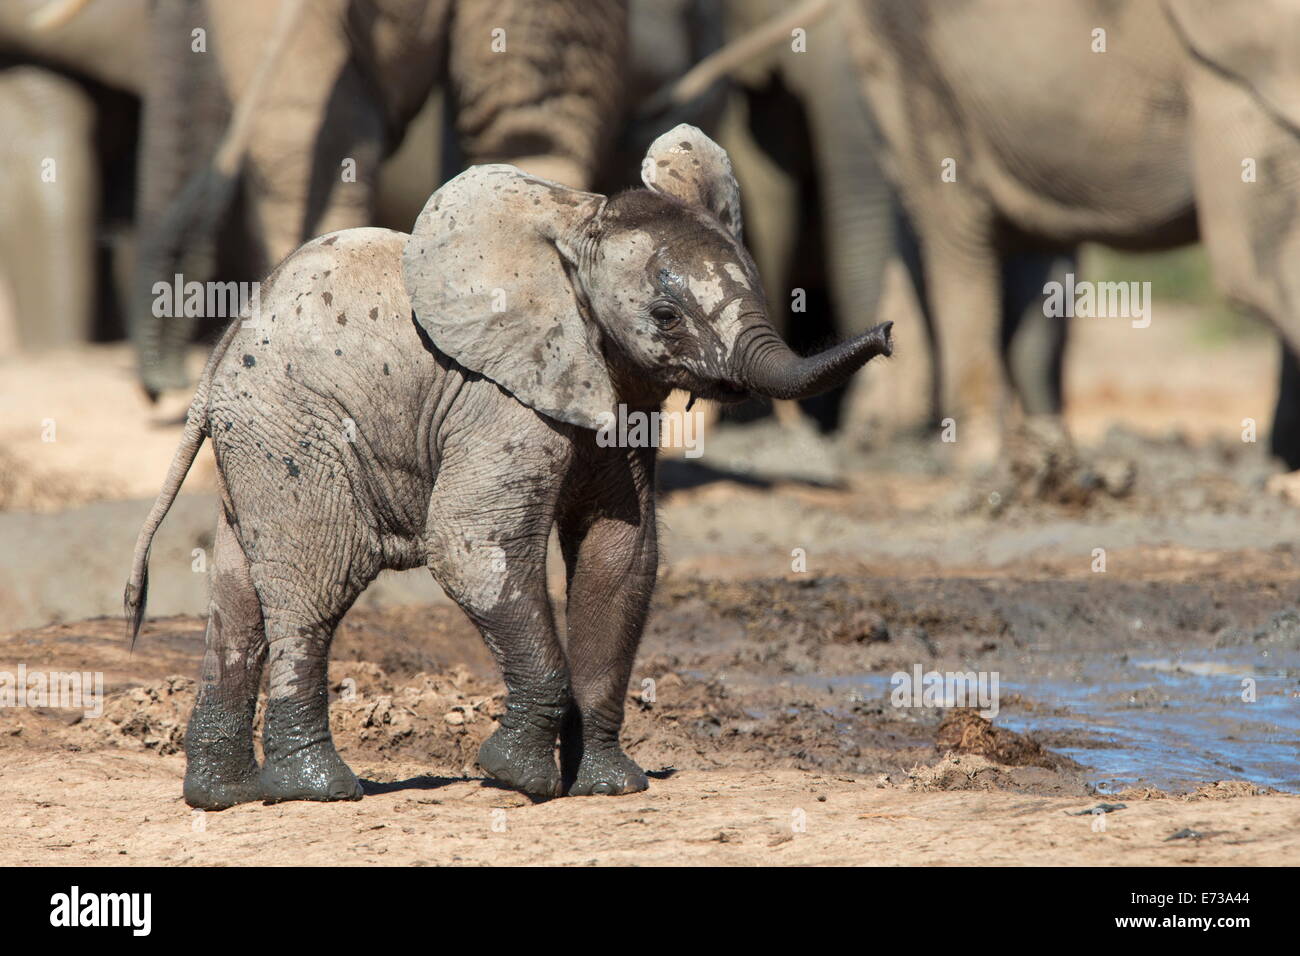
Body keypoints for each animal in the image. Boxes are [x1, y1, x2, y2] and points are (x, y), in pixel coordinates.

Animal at [124, 126, 894, 809]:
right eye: (665, 316)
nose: (887, 334)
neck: (572, 232)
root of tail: (218, 356)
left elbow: (621, 555)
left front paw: (609, 787)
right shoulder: (499, 400)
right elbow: (471, 544)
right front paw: (513, 777)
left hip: (257, 440)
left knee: (239, 598)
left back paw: (222, 797)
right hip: (295, 426)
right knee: (319, 579)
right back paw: (318, 791)